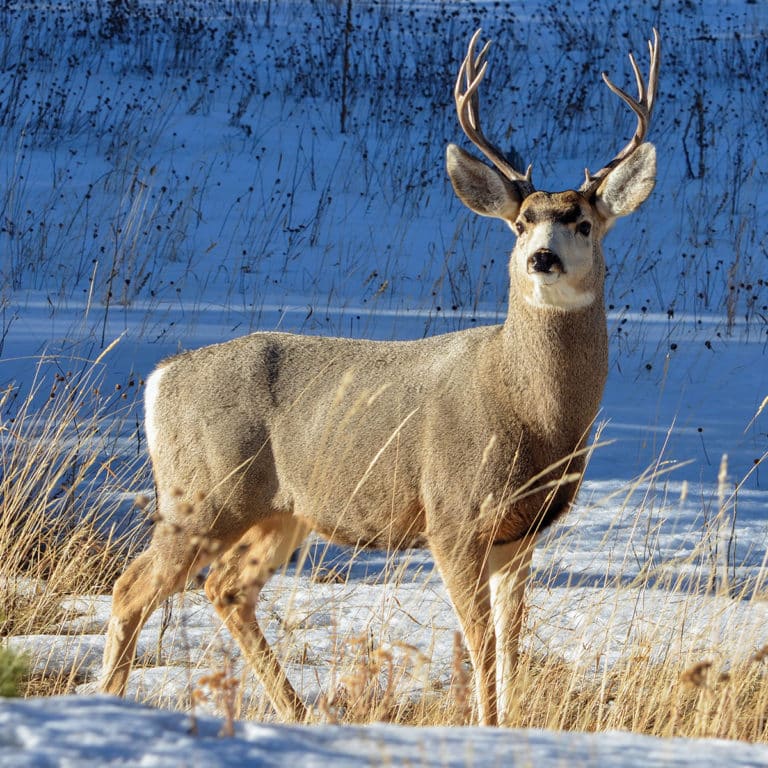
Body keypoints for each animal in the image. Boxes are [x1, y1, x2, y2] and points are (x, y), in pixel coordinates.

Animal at [99, 28, 660, 726]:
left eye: (582, 222)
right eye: (522, 221)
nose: (541, 258)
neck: (531, 415)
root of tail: (160, 377)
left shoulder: (520, 533)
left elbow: (511, 647)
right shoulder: (451, 514)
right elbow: (480, 645)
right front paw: (485, 726)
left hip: (281, 511)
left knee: (226, 589)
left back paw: (298, 713)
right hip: (202, 493)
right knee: (131, 587)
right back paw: (109, 701)